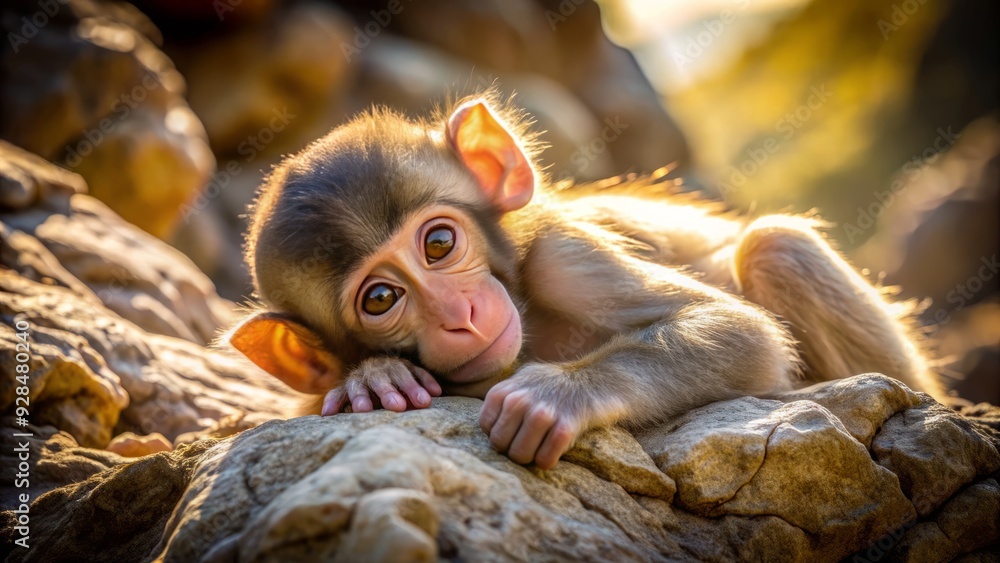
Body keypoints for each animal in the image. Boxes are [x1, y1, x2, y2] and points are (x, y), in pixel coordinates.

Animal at [228, 93, 943, 470]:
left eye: (438, 244)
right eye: (381, 298)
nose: (459, 314)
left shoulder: (562, 257)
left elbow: (744, 331)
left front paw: (559, 395)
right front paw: (375, 376)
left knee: (776, 246)